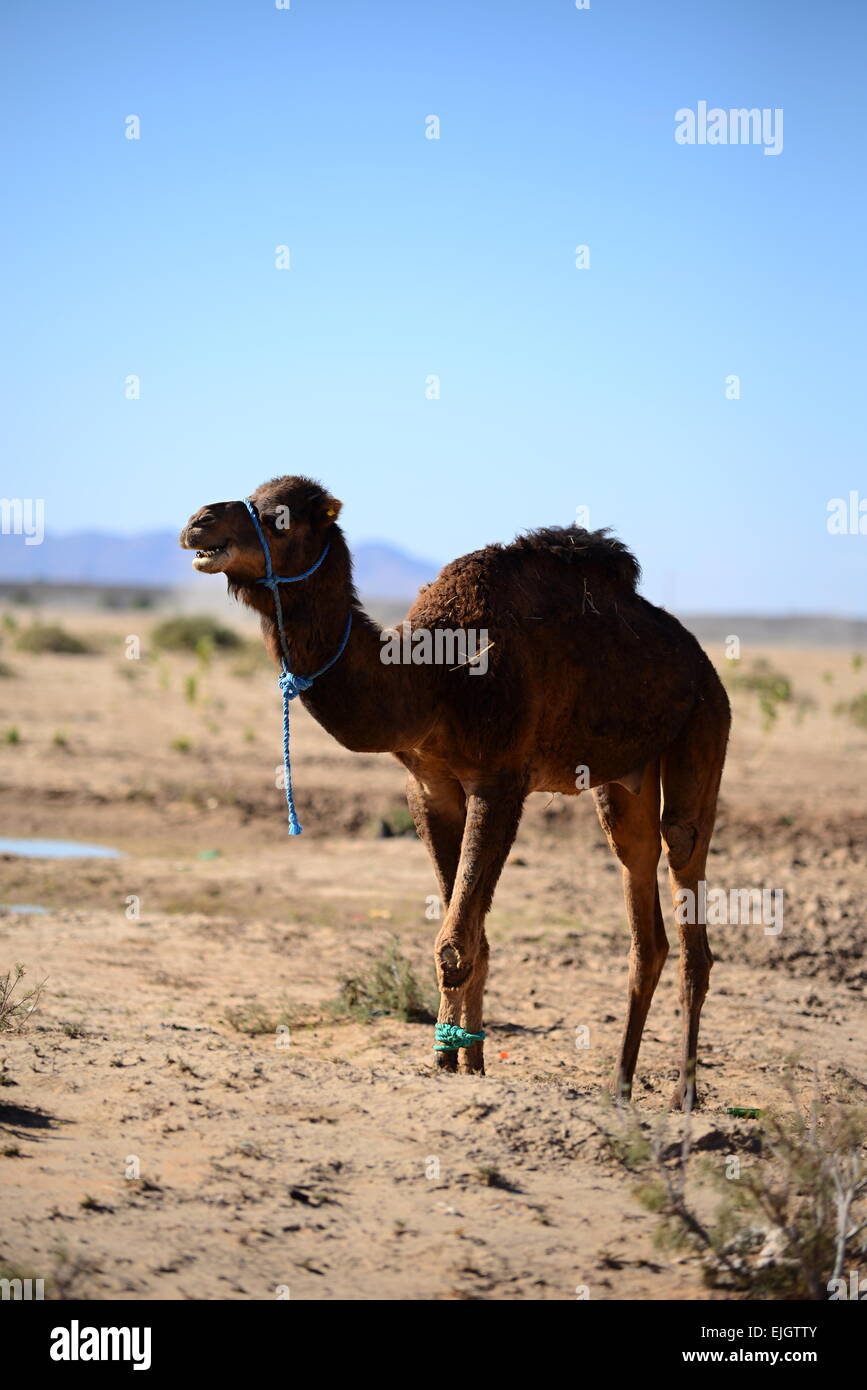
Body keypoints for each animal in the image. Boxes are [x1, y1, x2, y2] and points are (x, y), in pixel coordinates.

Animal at [180, 475, 730, 1109]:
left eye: (279, 517)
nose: (198, 521)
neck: (430, 677)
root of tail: (704, 663)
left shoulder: (500, 782)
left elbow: (454, 941)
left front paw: (444, 1059)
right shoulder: (429, 785)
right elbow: (470, 931)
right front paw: (470, 1059)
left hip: (704, 725)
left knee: (684, 864)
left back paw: (685, 1094)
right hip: (623, 781)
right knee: (642, 901)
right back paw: (618, 1086)